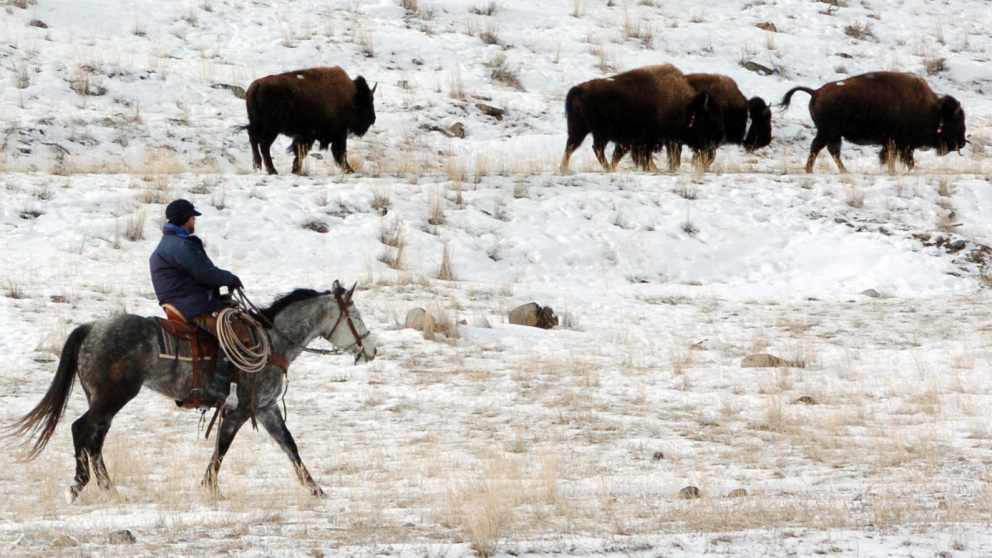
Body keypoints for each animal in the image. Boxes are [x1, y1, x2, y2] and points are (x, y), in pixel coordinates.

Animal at [245, 66, 377, 174]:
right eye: (368, 101)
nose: (373, 119)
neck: (352, 95)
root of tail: (257, 85)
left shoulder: (307, 135)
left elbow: (301, 151)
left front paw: (296, 169)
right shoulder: (338, 133)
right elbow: (339, 151)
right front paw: (350, 170)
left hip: (258, 124)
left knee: (254, 139)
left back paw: (258, 166)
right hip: (272, 128)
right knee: (264, 145)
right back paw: (272, 170)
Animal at [560, 64, 725, 173]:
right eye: (709, 120)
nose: (718, 140)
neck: (688, 107)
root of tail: (580, 89)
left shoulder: (635, 142)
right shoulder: (660, 141)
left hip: (579, 128)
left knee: (571, 146)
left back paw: (565, 168)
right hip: (600, 133)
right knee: (596, 149)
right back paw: (606, 168)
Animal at [780, 71, 966, 173]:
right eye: (957, 124)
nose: (963, 143)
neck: (933, 110)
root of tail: (816, 92)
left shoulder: (895, 144)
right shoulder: (901, 143)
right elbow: (903, 159)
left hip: (834, 134)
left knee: (832, 151)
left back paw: (845, 172)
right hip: (828, 132)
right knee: (817, 148)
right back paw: (810, 170)